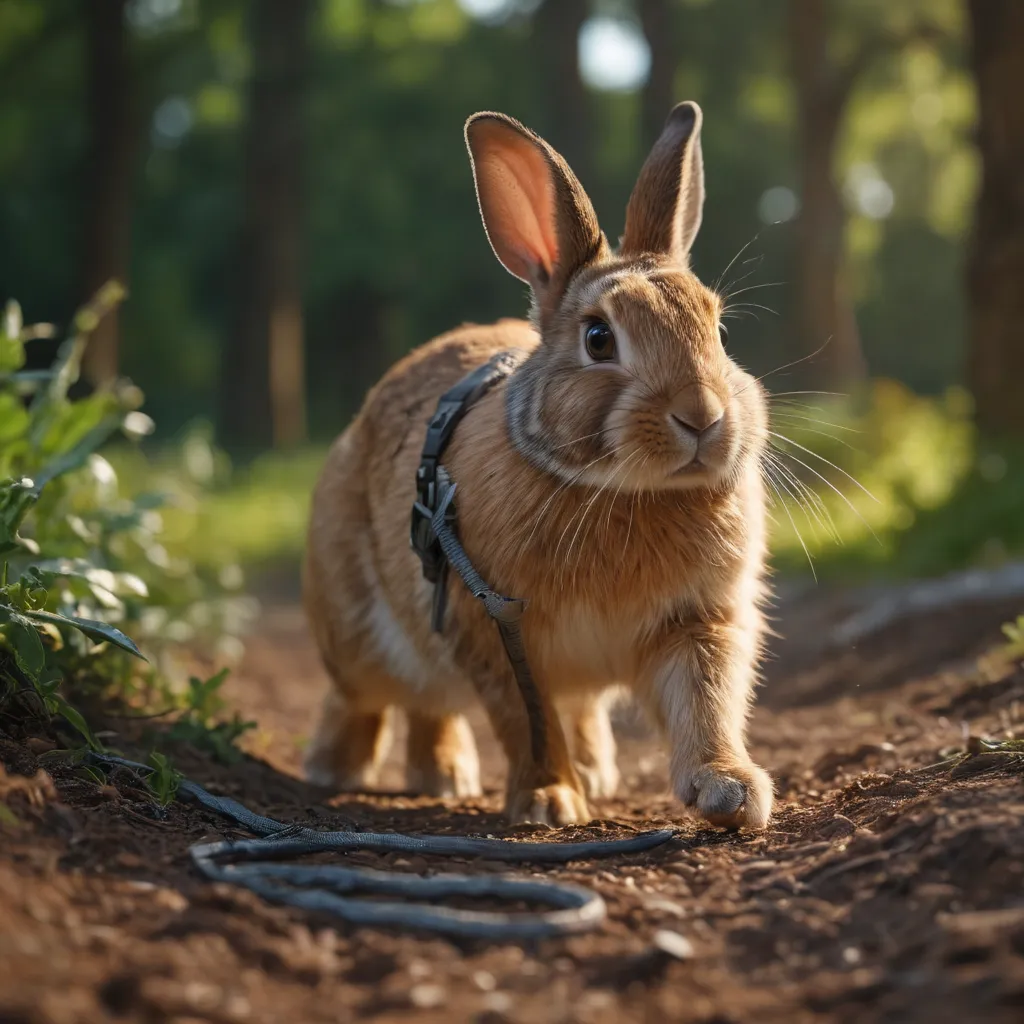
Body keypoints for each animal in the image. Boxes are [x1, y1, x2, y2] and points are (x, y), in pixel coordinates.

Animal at [303, 101, 773, 830]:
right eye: (599, 339)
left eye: (717, 330)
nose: (702, 417)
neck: (618, 488)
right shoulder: (492, 628)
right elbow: (526, 722)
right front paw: (550, 803)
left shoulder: (697, 622)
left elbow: (706, 703)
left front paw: (731, 790)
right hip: (359, 627)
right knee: (371, 692)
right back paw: (345, 767)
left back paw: (490, 773)